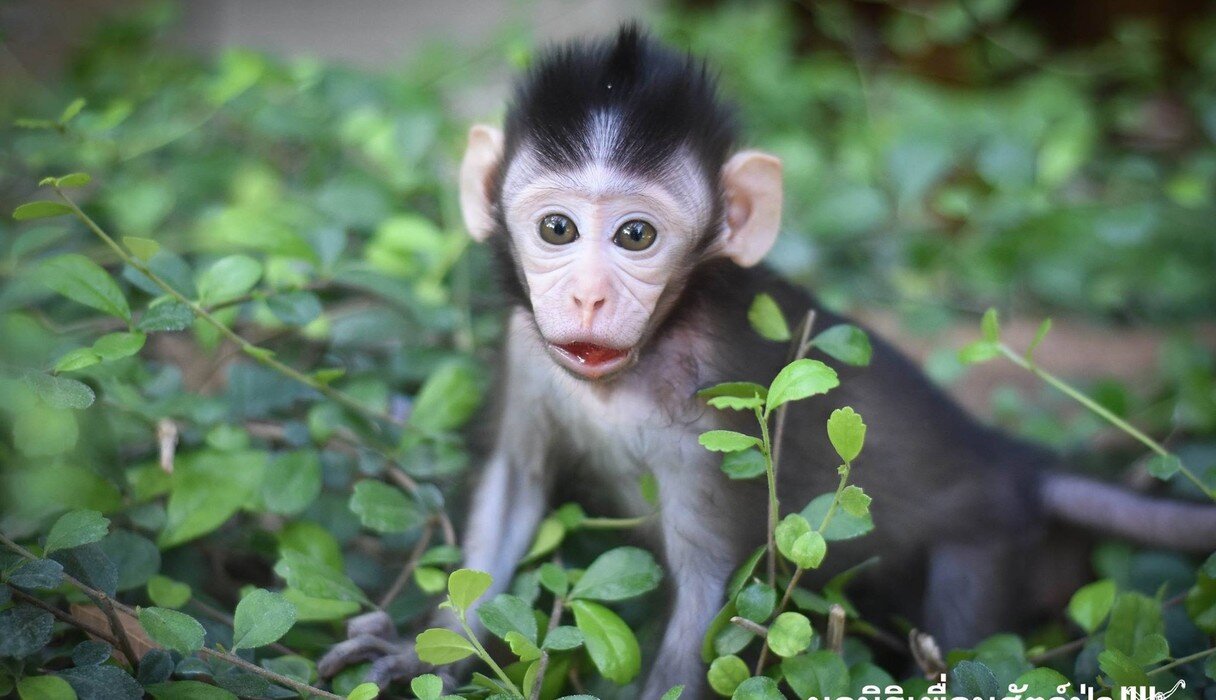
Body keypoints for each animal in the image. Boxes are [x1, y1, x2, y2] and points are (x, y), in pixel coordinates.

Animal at [319, 25, 1216, 699]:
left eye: (636, 236)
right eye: (558, 230)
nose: (589, 299)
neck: (645, 357)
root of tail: (1011, 463)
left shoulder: (716, 406)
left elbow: (709, 591)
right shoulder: (525, 346)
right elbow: (513, 483)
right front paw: (424, 654)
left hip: (986, 552)